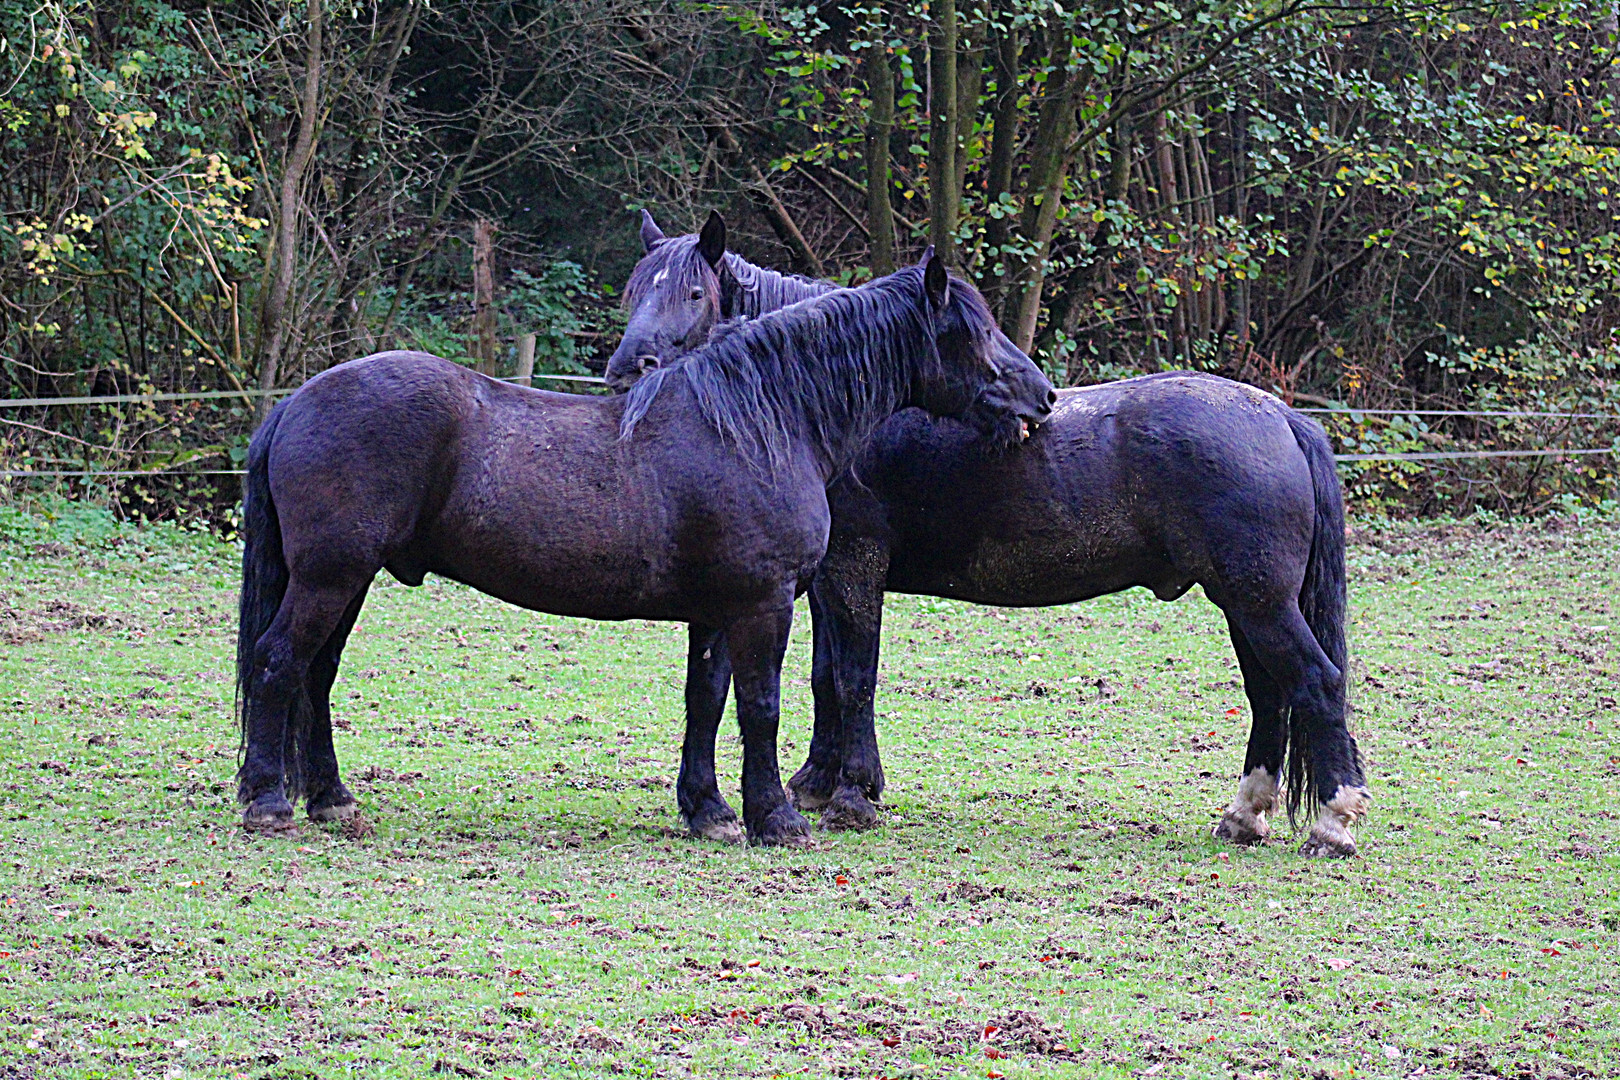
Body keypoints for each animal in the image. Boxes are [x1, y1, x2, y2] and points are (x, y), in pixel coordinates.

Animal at [233, 252, 1056, 847]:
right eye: (974, 332)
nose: (1042, 398)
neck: (762, 422)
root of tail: (293, 405)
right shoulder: (761, 604)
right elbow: (761, 706)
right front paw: (776, 819)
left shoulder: (716, 610)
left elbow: (706, 701)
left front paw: (709, 811)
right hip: (331, 576)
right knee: (279, 664)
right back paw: (270, 803)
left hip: (348, 579)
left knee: (315, 676)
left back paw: (331, 800)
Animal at [605, 212, 1371, 857]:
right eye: (634, 291)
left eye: (694, 292)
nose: (624, 373)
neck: (833, 402)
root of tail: (1281, 416)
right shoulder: (822, 579)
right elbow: (827, 677)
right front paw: (821, 782)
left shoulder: (854, 566)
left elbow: (855, 677)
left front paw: (853, 794)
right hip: (1246, 603)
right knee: (1272, 694)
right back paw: (1245, 814)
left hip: (1257, 600)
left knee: (1315, 682)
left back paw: (1334, 823)